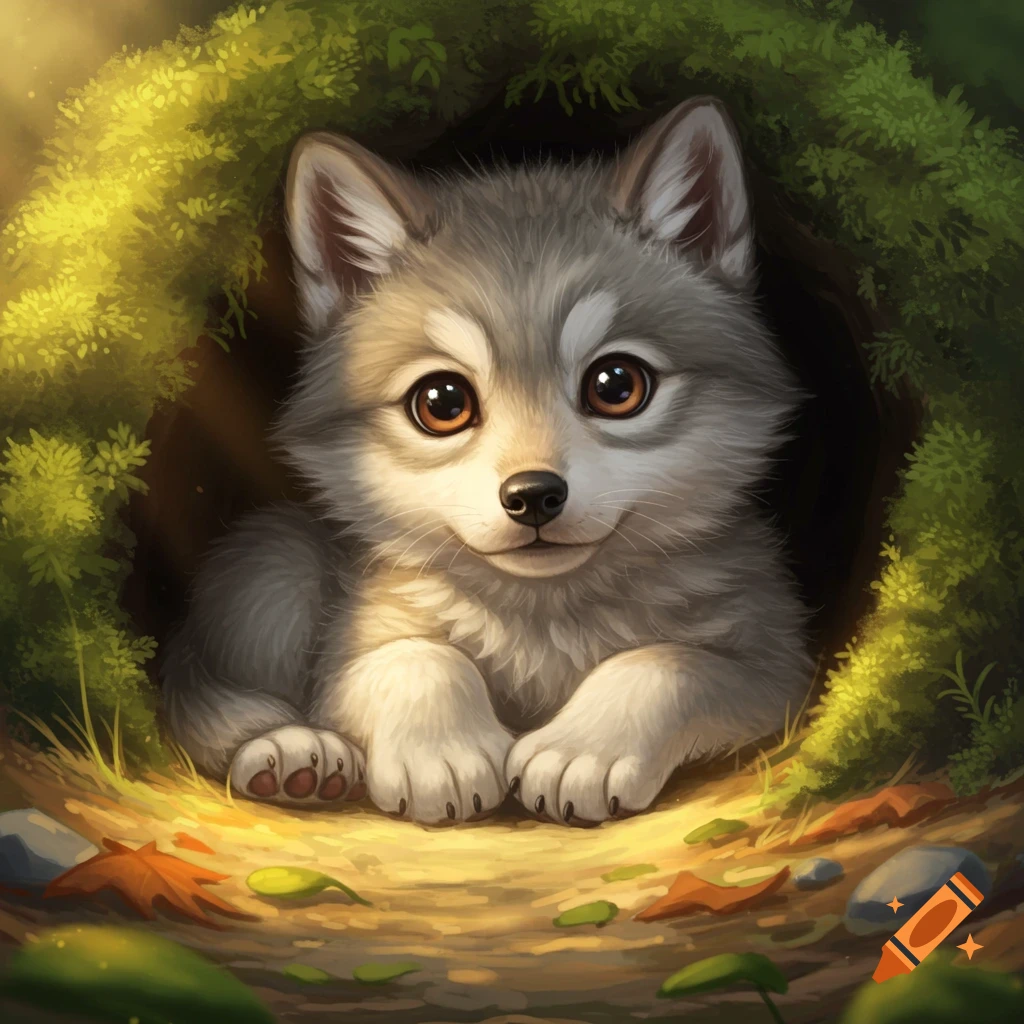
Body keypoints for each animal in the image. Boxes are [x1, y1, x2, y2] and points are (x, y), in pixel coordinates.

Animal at [160, 96, 813, 826]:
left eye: (617, 385)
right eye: (442, 402)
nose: (533, 495)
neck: (544, 622)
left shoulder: (777, 661)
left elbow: (665, 663)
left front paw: (580, 749)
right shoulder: (349, 653)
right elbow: (416, 656)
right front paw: (441, 752)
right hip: (272, 562)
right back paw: (292, 748)